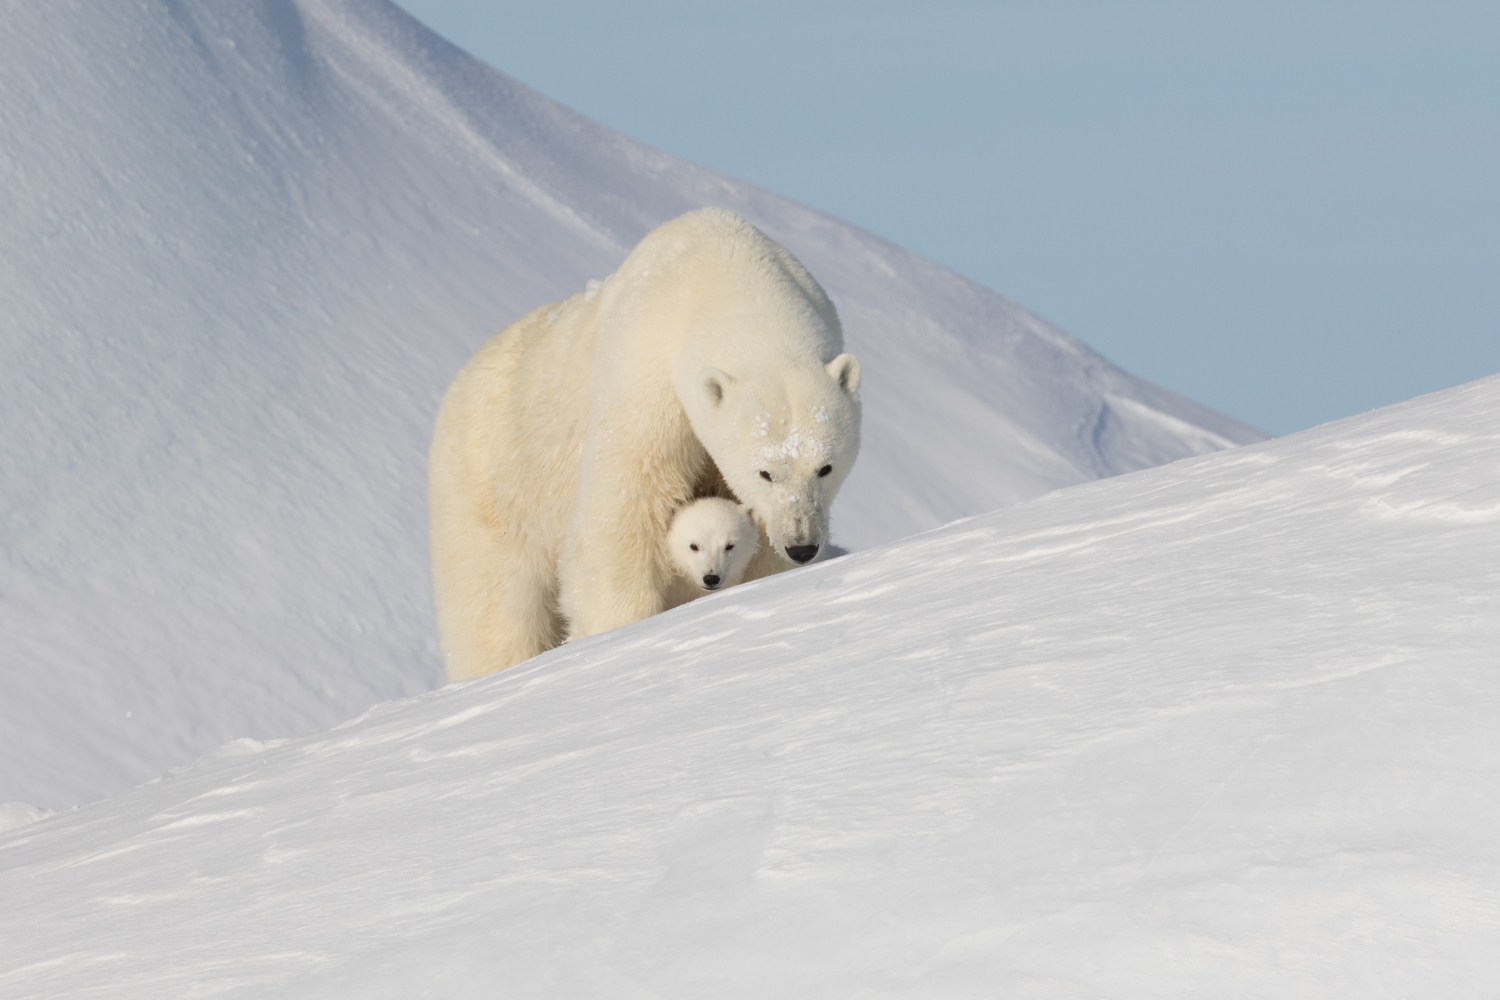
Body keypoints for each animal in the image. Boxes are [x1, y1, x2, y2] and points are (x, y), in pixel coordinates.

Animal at [428, 208, 862, 682]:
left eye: (825, 467)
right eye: (765, 472)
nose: (802, 546)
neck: (725, 269)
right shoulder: (643, 375)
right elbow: (624, 508)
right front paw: (618, 627)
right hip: (493, 485)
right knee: (494, 607)